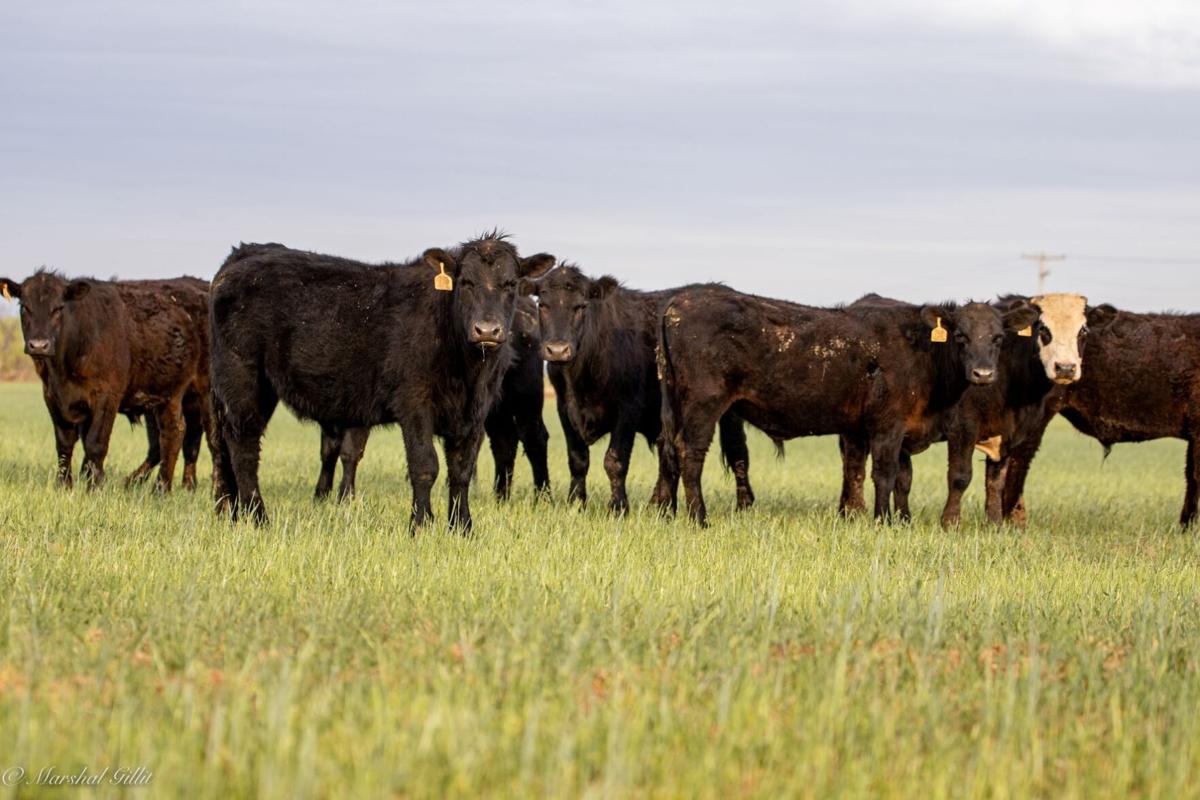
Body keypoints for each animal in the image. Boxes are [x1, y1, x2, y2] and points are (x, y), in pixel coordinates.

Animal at [0, 271, 217, 491]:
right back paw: (165, 488)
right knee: (174, 435)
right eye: (24, 307)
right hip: (167, 394)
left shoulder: (106, 396)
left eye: (59, 308)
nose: (39, 345)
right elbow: (65, 444)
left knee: (207, 437)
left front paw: (95, 487)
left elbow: (95, 443)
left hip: (205, 394)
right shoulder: (53, 397)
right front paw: (65, 485)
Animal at [313, 296, 551, 502]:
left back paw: (542, 497)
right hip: (495, 410)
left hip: (525, 397)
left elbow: (350, 452)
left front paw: (344, 498)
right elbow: (328, 451)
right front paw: (321, 495)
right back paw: (501, 496)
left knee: (533, 437)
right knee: (504, 441)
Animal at [526, 264, 756, 515]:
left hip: (729, 412)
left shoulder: (627, 410)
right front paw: (576, 505)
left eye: (581, 306)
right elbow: (578, 460)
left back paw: (744, 506)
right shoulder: (565, 409)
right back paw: (660, 507)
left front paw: (618, 508)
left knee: (737, 450)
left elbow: (615, 460)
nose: (557, 350)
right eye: (542, 305)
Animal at [655, 284, 1034, 525]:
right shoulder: (888, 426)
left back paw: (668, 513)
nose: (983, 373)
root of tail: (677, 304)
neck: (924, 353)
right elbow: (885, 474)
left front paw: (900, 520)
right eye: (960, 336)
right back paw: (699, 518)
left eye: (998, 337)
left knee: (670, 450)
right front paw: (884, 521)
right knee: (691, 453)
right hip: (704, 404)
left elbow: (896, 478)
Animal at [838, 294, 1098, 527]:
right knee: (855, 466)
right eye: (1043, 329)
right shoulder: (963, 428)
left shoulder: (1005, 434)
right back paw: (853, 513)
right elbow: (960, 476)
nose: (1065, 368)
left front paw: (994, 524)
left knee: (900, 476)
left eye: (1083, 331)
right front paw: (950, 522)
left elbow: (996, 480)